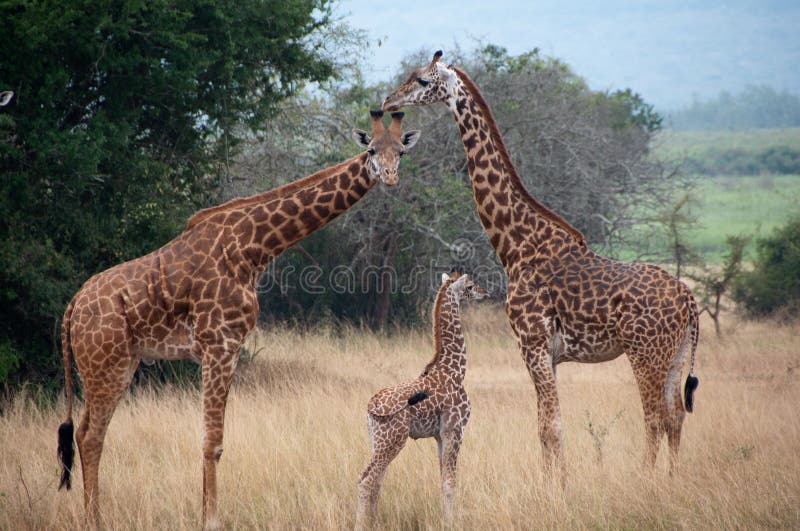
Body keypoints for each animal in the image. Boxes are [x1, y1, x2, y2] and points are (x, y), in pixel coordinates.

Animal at [56, 110, 421, 530]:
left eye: (401, 152)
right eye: (372, 149)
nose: (390, 177)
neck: (252, 249)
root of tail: (72, 307)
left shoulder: (225, 350)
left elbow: (211, 439)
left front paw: (205, 514)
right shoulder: (219, 345)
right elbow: (212, 442)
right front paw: (211, 520)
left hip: (120, 363)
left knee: (86, 432)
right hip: (106, 364)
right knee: (90, 436)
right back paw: (94, 520)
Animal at [355, 271, 489, 530]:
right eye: (469, 285)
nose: (485, 292)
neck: (455, 369)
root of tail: (370, 407)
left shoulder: (439, 435)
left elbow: (442, 480)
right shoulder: (454, 429)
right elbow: (450, 483)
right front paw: (450, 524)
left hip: (376, 441)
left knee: (372, 480)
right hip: (392, 441)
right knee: (367, 481)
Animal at [382, 52, 700, 476]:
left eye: (420, 80)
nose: (388, 101)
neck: (516, 244)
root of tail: (687, 300)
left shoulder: (531, 343)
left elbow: (550, 427)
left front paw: (558, 488)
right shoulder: (548, 353)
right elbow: (545, 425)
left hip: (646, 353)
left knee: (654, 418)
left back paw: (646, 481)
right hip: (676, 355)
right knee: (676, 415)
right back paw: (672, 479)